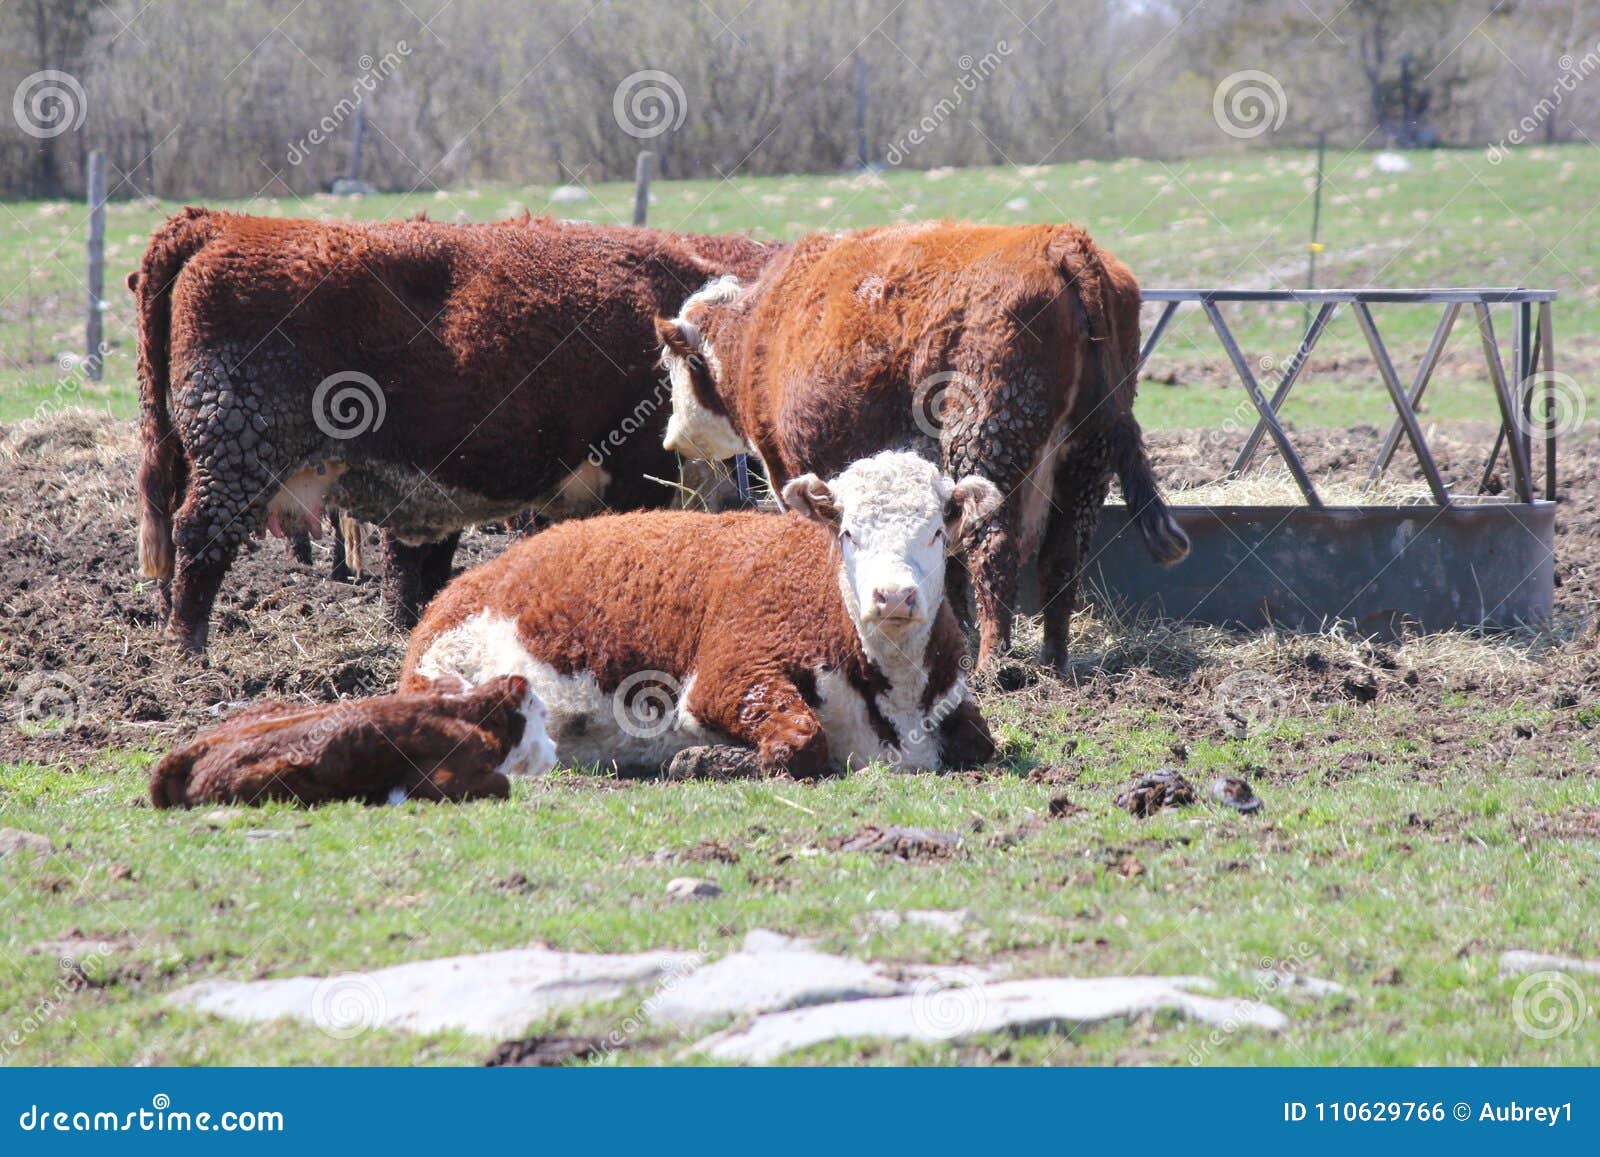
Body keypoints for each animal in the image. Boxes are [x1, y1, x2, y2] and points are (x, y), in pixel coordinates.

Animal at [399, 451, 1002, 777]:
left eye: (937, 531)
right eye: (848, 533)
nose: (893, 596)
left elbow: (983, 744)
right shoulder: (727, 673)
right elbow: (801, 743)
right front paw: (703, 759)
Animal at [653, 221, 1188, 673]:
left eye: (676, 363)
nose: (672, 436)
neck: (759, 331)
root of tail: (1058, 240)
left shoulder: (788, 469)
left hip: (987, 441)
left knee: (995, 549)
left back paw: (993, 664)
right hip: (1088, 456)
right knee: (1062, 553)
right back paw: (1053, 663)